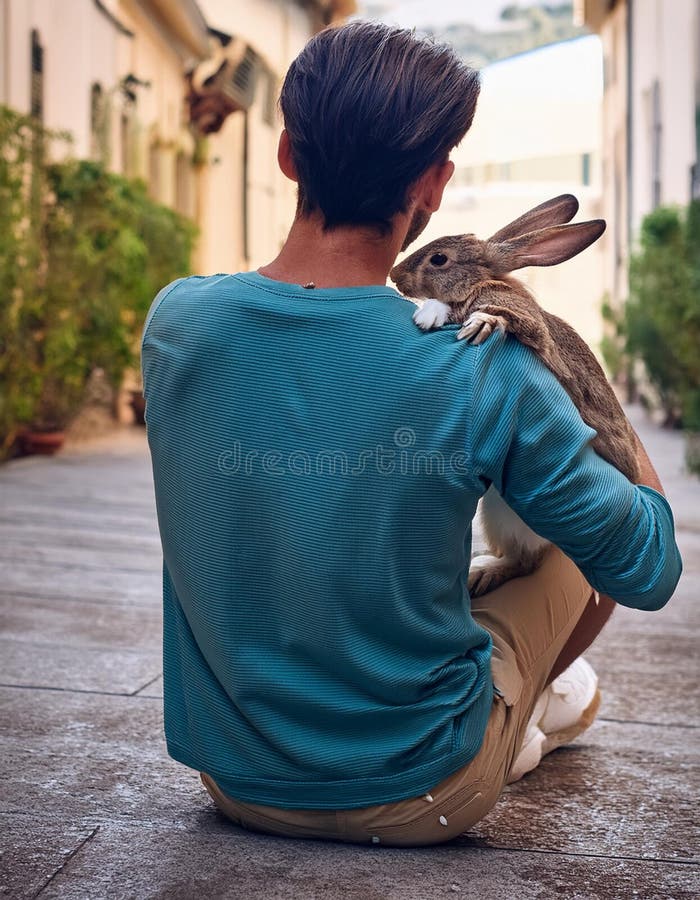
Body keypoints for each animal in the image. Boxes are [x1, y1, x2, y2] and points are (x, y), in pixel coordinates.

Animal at [390, 193, 640, 597]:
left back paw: (481, 574)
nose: (396, 275)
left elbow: (492, 316)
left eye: (439, 259)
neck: (481, 282)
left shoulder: (519, 319)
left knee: (526, 562)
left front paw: (437, 315)